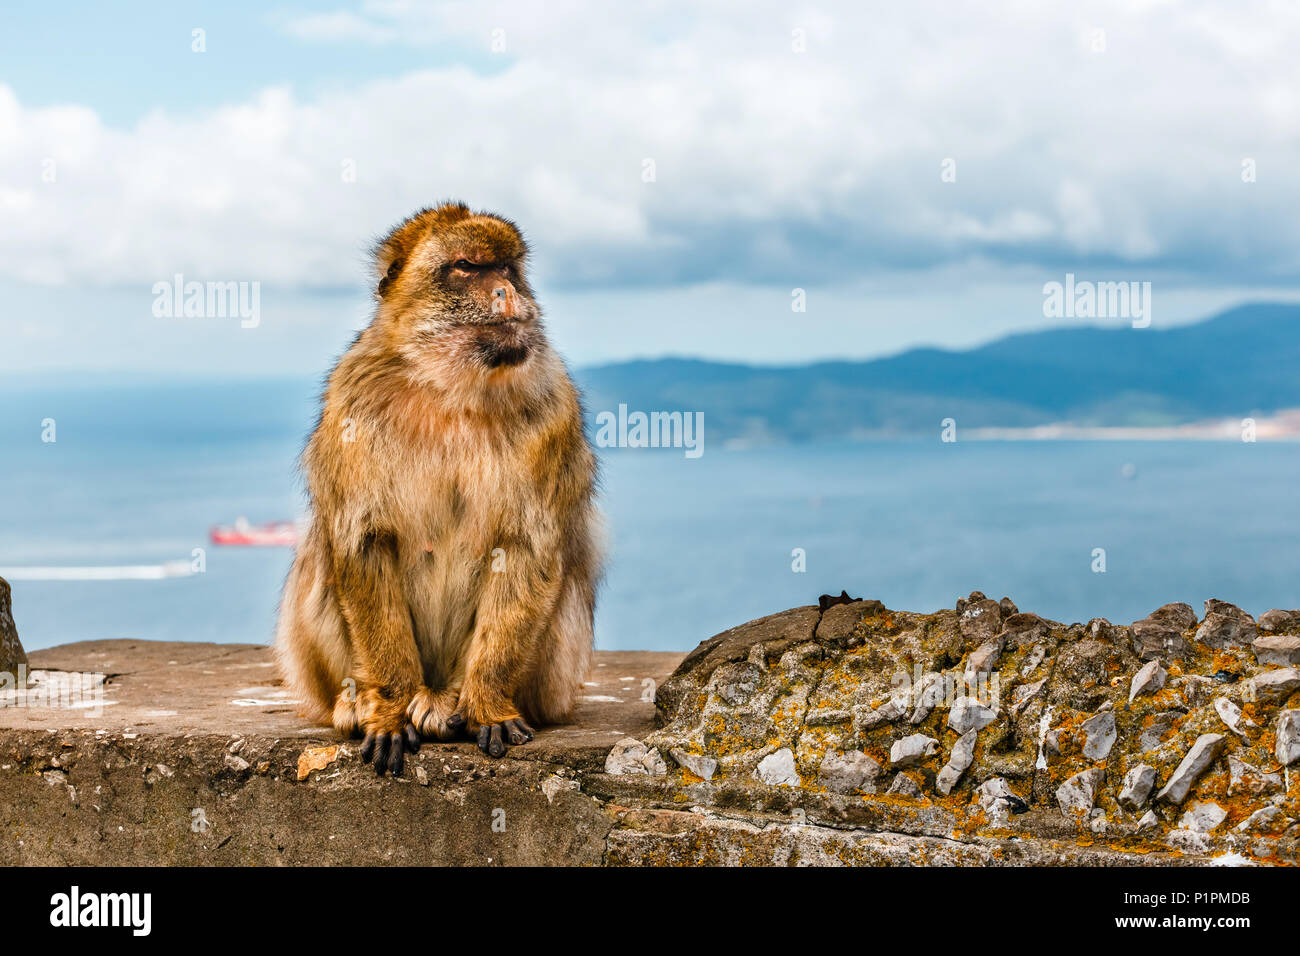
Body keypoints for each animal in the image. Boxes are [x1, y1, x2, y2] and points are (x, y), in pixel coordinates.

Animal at [274, 202, 602, 774]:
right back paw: (363, 701)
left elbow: (527, 549)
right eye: (468, 267)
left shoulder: (553, 406)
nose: (506, 292)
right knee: (320, 557)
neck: (449, 385)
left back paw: (451, 703)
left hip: (550, 686)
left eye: (508, 268)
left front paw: (489, 704)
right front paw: (388, 710)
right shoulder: (350, 399)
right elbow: (363, 543)